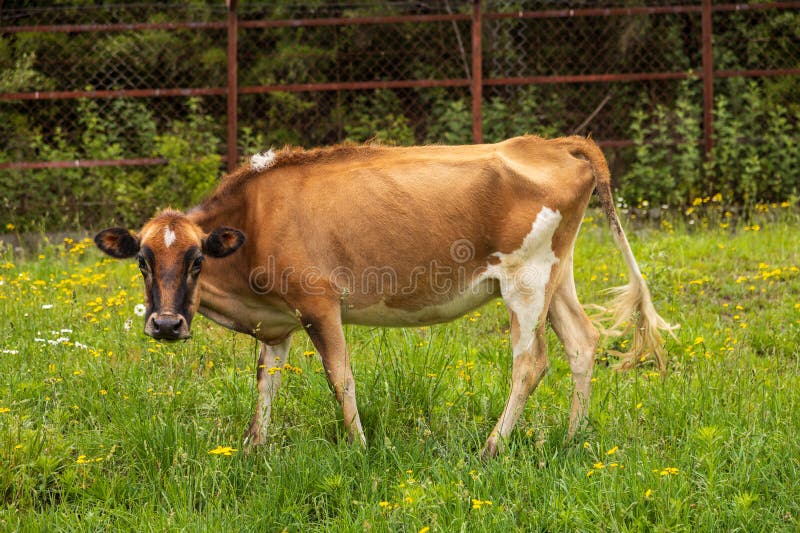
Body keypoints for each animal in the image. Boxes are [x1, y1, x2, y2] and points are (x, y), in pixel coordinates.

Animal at [94, 135, 674, 458]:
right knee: (582, 342)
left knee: (531, 362)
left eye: (197, 260)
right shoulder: (276, 321)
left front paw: (359, 448)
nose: (165, 325)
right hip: (557, 273)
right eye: (142, 261)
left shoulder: (319, 303)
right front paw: (253, 449)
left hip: (524, 281)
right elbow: (266, 381)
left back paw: (492, 447)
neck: (254, 221)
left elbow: (340, 377)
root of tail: (552, 142)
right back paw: (575, 437)